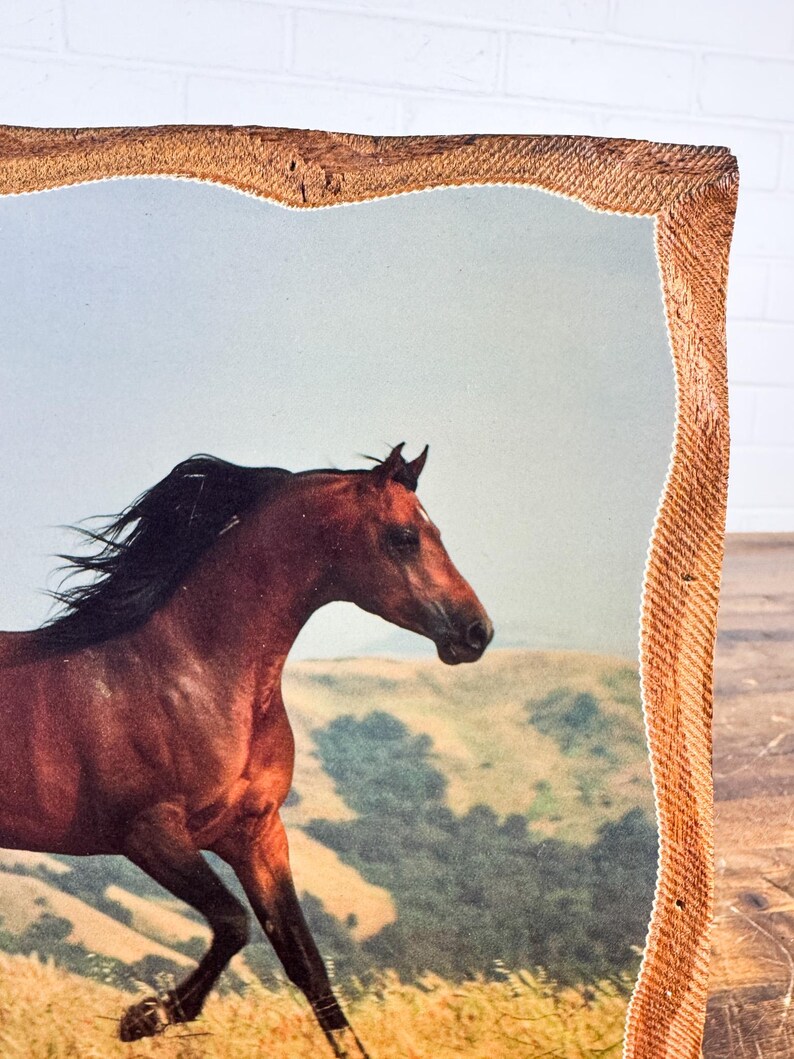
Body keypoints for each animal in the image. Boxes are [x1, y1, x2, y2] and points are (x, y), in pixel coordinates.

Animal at [0, 443, 493, 1058]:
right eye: (405, 536)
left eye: (435, 531)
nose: (477, 632)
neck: (194, 673)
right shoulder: (150, 832)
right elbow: (234, 923)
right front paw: (144, 1016)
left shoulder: (257, 834)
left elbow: (307, 965)